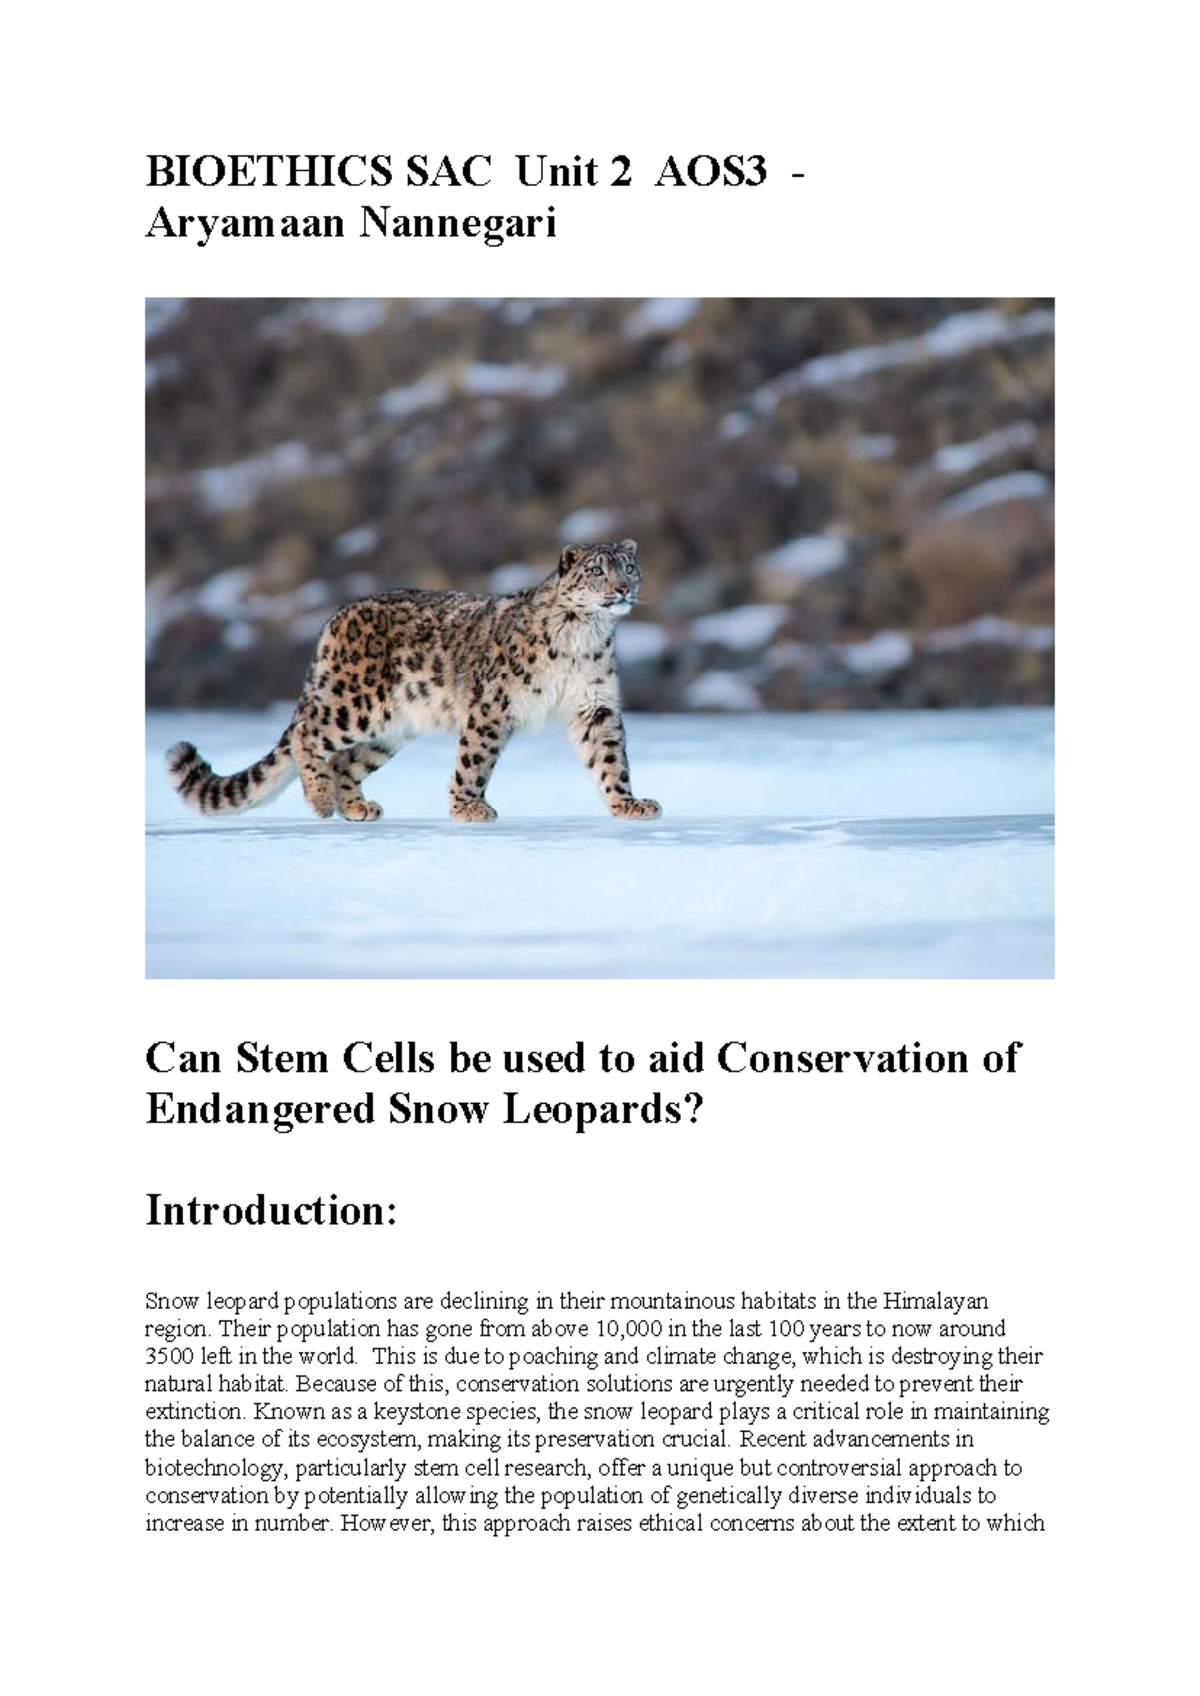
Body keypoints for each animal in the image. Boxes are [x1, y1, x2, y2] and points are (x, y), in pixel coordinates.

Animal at [166, 540, 662, 824]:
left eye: (629, 566)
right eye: (597, 570)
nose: (623, 589)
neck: (586, 635)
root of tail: (335, 618)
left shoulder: (595, 704)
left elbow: (610, 759)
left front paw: (628, 803)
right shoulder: (492, 706)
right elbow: (474, 759)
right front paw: (467, 808)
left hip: (390, 730)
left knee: (346, 763)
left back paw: (357, 808)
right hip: (354, 705)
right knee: (308, 733)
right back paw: (321, 800)